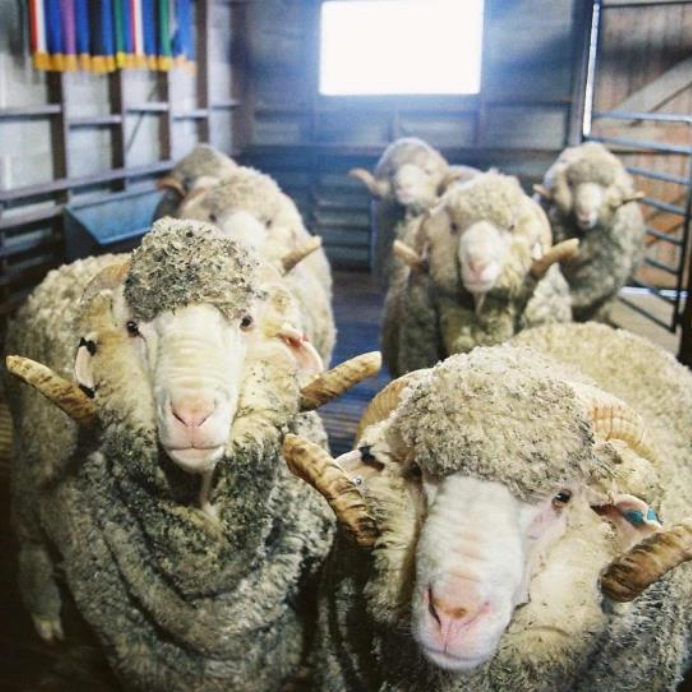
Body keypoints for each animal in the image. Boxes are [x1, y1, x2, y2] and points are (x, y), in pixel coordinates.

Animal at [4, 218, 381, 692]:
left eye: (246, 321)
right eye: (132, 327)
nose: (192, 414)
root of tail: (64, 267)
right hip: (27, 478)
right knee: (31, 545)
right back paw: (46, 616)